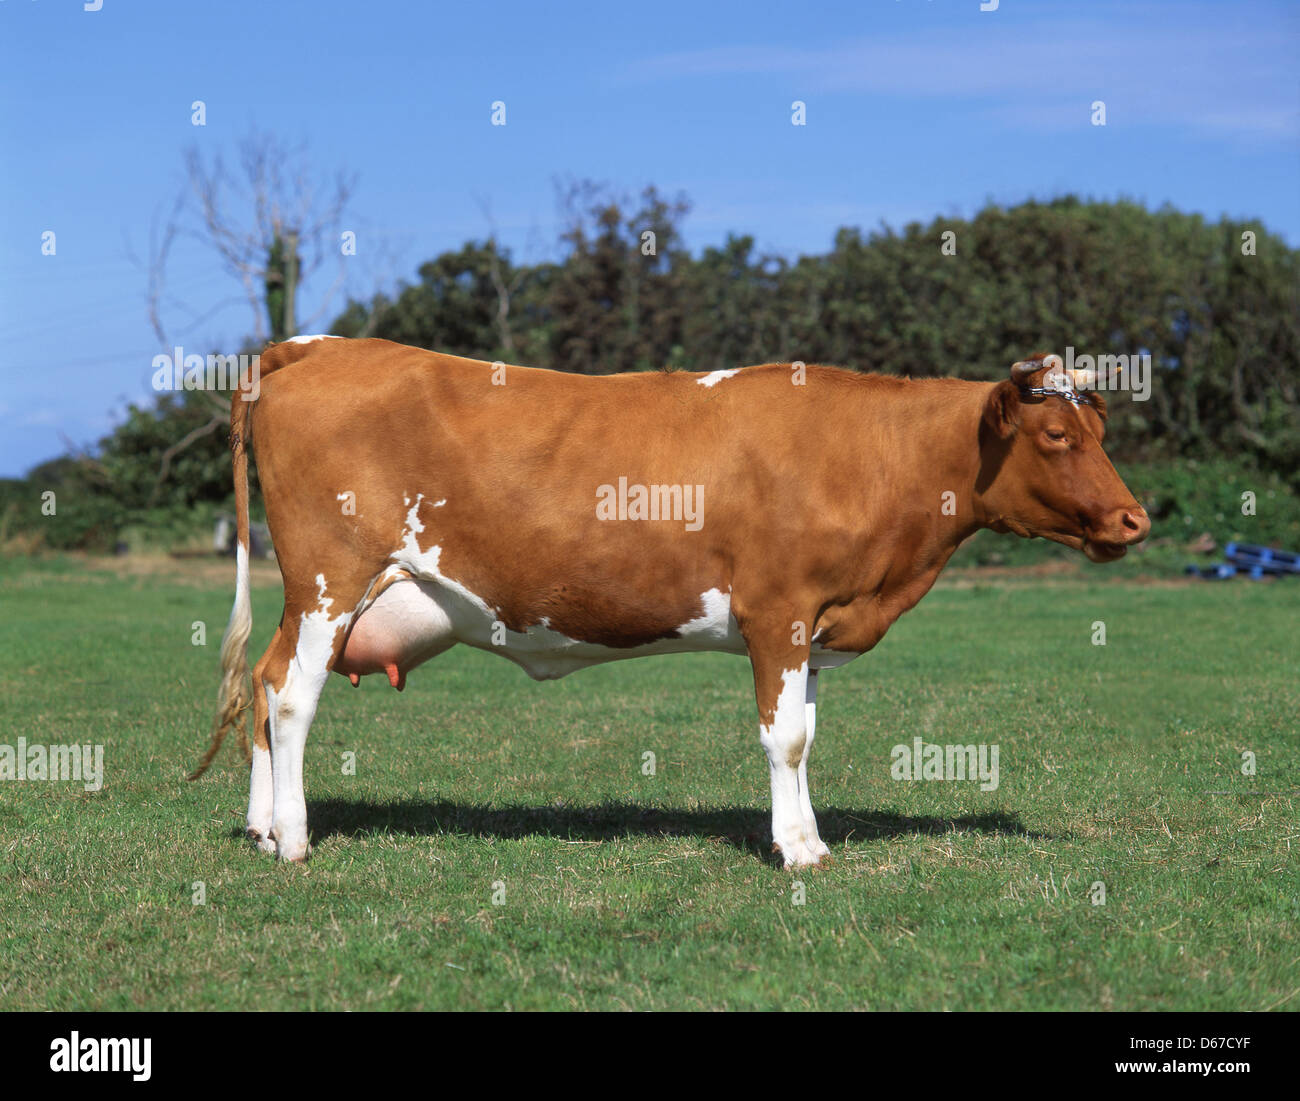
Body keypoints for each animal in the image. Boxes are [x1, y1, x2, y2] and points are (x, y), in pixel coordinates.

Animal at [190, 337, 1149, 867]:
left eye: (1099, 429)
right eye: (1056, 435)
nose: (1134, 519)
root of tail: (317, 345)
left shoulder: (812, 622)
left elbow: (807, 735)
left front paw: (805, 835)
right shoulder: (776, 611)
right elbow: (784, 737)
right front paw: (797, 851)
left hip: (313, 597)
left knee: (264, 689)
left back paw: (261, 827)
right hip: (328, 580)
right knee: (292, 697)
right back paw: (295, 838)